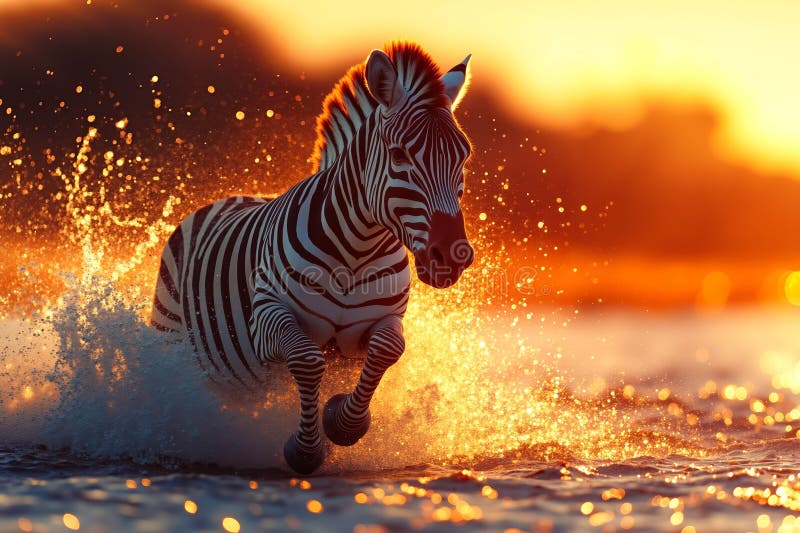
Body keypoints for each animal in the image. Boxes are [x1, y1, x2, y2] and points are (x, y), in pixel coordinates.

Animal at [151, 42, 474, 474]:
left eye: (463, 156)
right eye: (399, 155)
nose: (453, 256)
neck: (356, 251)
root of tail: (227, 198)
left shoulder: (383, 322)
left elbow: (388, 349)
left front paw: (342, 422)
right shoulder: (266, 318)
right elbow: (307, 360)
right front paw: (306, 450)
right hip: (175, 342)